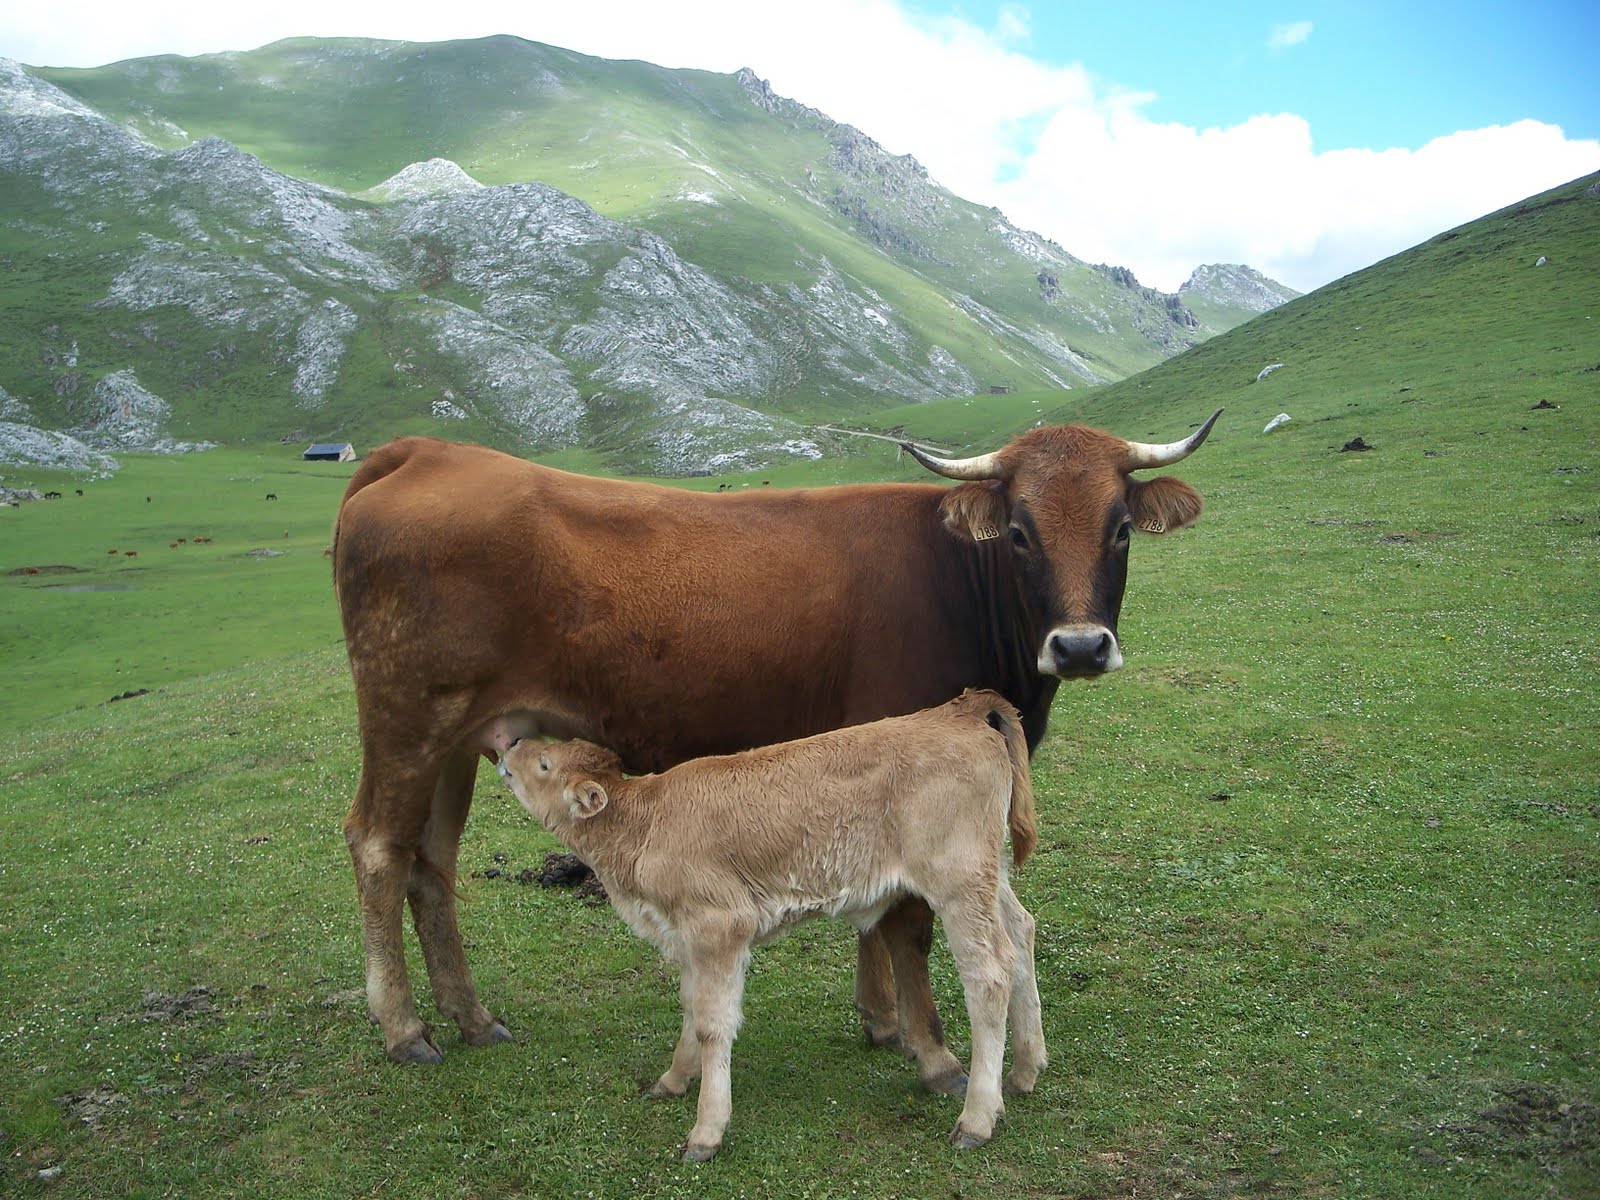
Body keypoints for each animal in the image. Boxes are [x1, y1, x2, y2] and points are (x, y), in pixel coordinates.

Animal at [332, 408, 1220, 1076]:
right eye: (1020, 534)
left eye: (1120, 531)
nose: (1080, 646)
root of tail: (425, 452)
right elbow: (902, 916)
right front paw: (918, 1039)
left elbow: (876, 901)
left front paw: (878, 1016)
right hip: (407, 718)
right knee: (379, 847)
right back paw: (405, 1029)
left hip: (461, 736)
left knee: (431, 861)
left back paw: (471, 1016)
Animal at [490, 689, 1044, 1160]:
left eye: (543, 764)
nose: (509, 747)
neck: (643, 828)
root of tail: (960, 710)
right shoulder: (687, 937)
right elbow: (691, 1007)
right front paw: (673, 1079)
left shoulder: (719, 925)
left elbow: (713, 1023)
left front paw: (706, 1130)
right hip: (987, 873)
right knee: (1021, 932)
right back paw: (1024, 1071)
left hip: (957, 880)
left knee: (989, 973)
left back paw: (977, 1118)